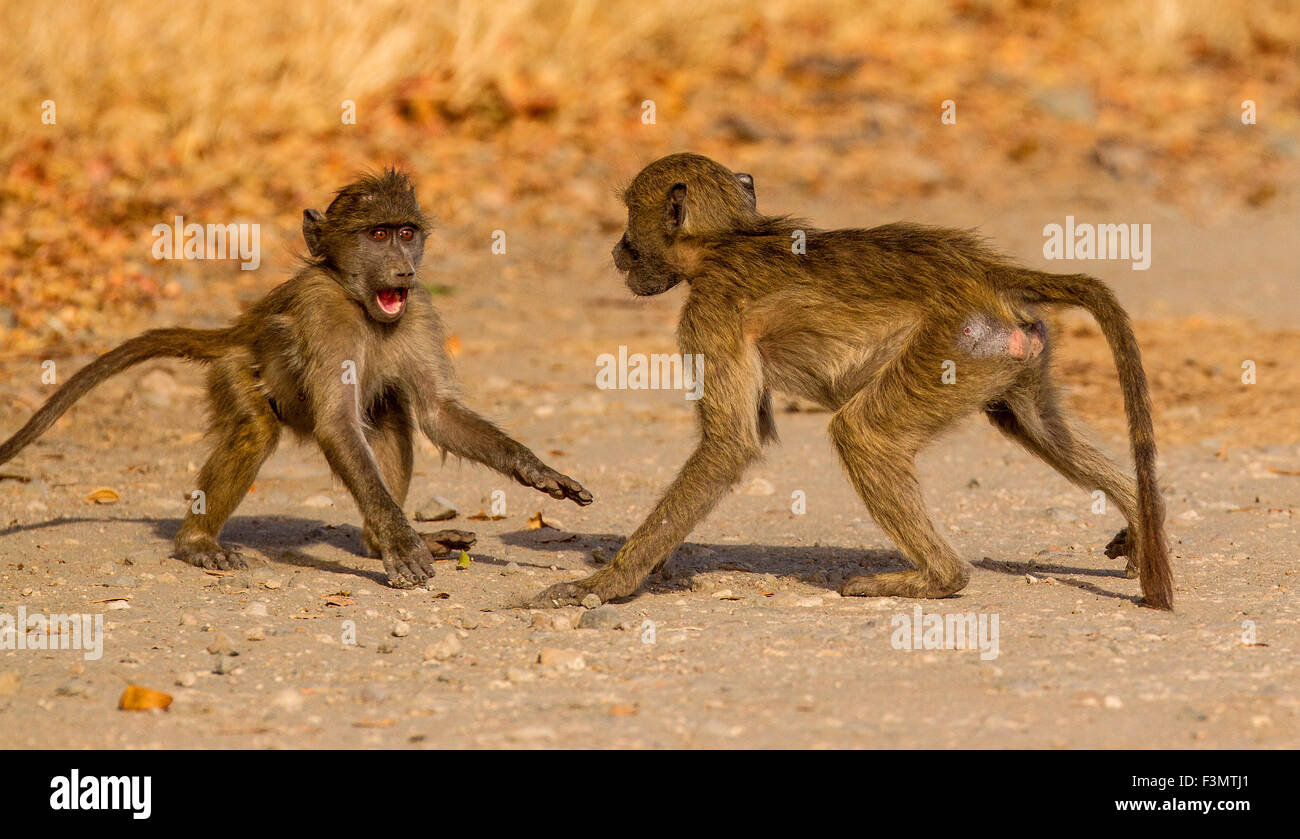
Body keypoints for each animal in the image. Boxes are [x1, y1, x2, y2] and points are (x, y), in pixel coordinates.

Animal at [0, 169, 592, 588]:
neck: (358, 300)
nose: (403, 270)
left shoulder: (419, 308)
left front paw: (538, 472)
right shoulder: (320, 312)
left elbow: (436, 414)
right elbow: (336, 422)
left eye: (406, 233)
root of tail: (240, 329)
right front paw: (402, 547)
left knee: (392, 417)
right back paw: (198, 541)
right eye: (378, 234)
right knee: (257, 430)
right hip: (235, 372)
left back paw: (376, 541)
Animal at [527, 152, 1171, 610]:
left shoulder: (706, 316)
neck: (728, 242)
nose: (616, 251)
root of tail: (985, 273)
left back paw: (935, 578)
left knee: (863, 433)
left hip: (953, 344)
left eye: (628, 226)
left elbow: (729, 444)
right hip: (1006, 354)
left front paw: (605, 585)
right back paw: (1138, 517)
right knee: (1033, 425)